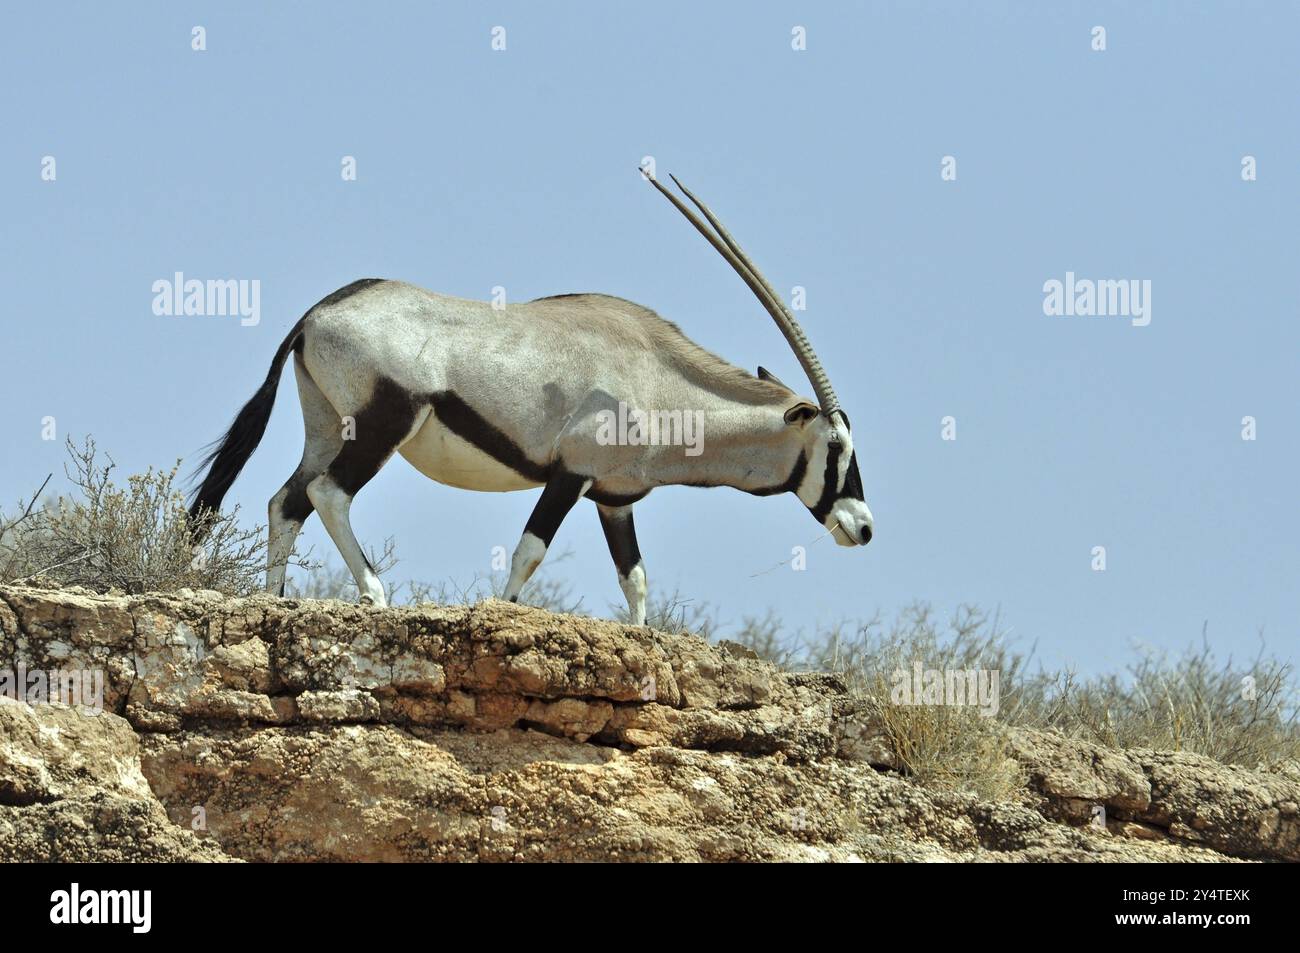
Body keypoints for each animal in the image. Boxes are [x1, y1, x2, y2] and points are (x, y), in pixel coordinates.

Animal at [187, 174, 874, 623]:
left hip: (328, 426)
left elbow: (635, 579)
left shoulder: (614, 499)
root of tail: (316, 314)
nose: (863, 528)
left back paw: (275, 602)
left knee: (288, 500)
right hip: (384, 426)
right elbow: (529, 552)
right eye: (836, 445)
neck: (658, 377)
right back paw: (374, 597)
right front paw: (503, 611)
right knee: (330, 493)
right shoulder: (569, 474)